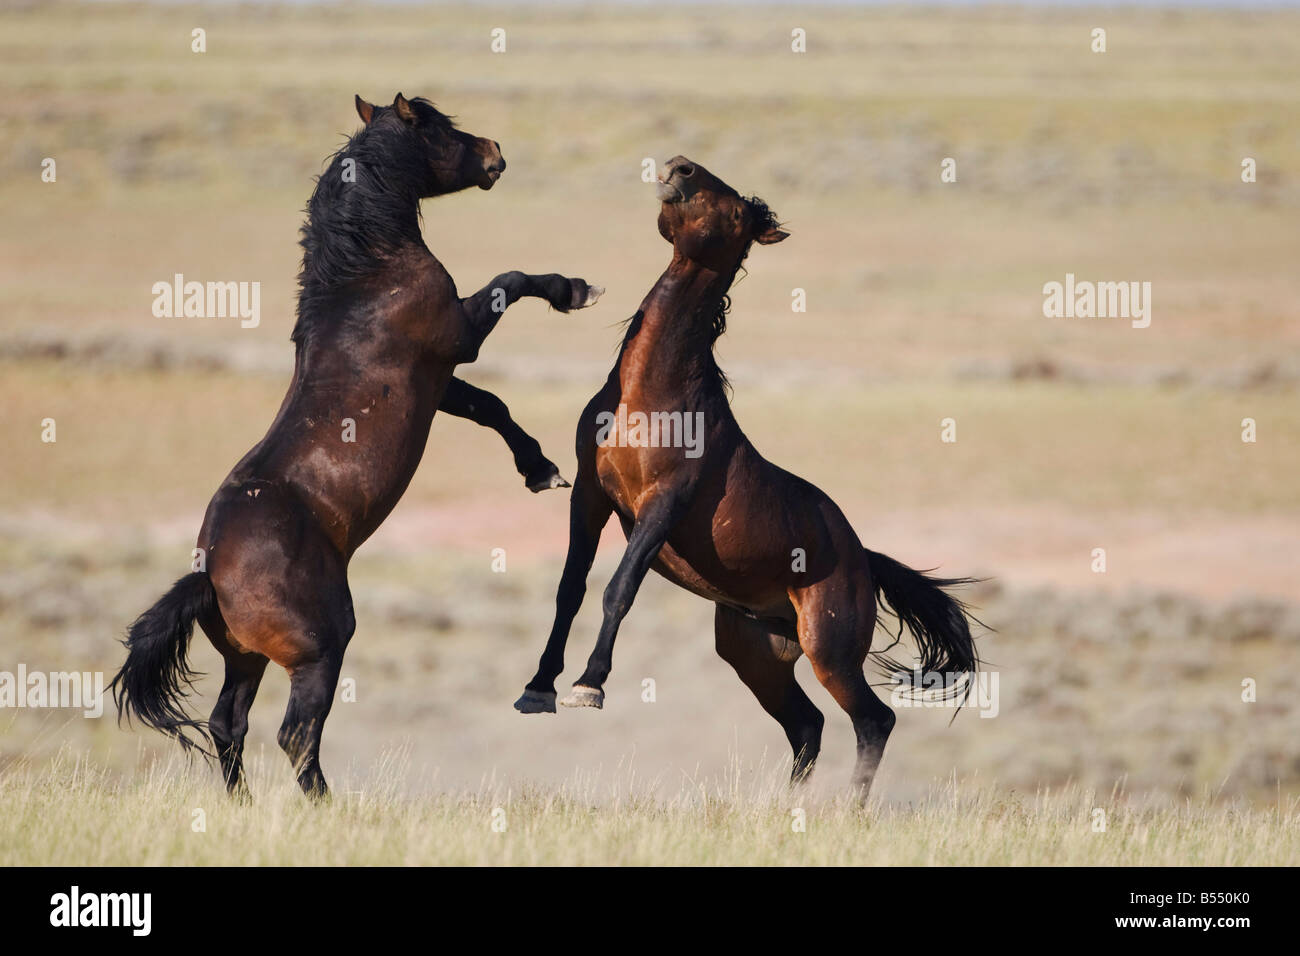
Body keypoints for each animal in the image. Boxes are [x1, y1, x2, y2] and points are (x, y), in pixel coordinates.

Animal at [111, 93, 602, 800]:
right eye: (439, 128)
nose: (494, 154)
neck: (364, 280)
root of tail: (209, 574)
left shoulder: (440, 383)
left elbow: (491, 407)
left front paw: (541, 470)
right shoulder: (460, 337)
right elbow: (511, 280)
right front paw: (576, 290)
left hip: (246, 659)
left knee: (227, 724)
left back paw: (243, 805)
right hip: (321, 647)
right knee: (295, 733)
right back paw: (325, 806)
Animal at [514, 157, 980, 799]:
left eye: (736, 211)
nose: (678, 168)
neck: (653, 394)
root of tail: (864, 559)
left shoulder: (663, 503)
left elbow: (618, 588)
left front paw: (589, 685)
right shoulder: (589, 493)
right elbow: (570, 589)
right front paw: (539, 688)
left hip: (829, 650)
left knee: (873, 719)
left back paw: (848, 809)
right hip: (754, 652)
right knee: (808, 723)